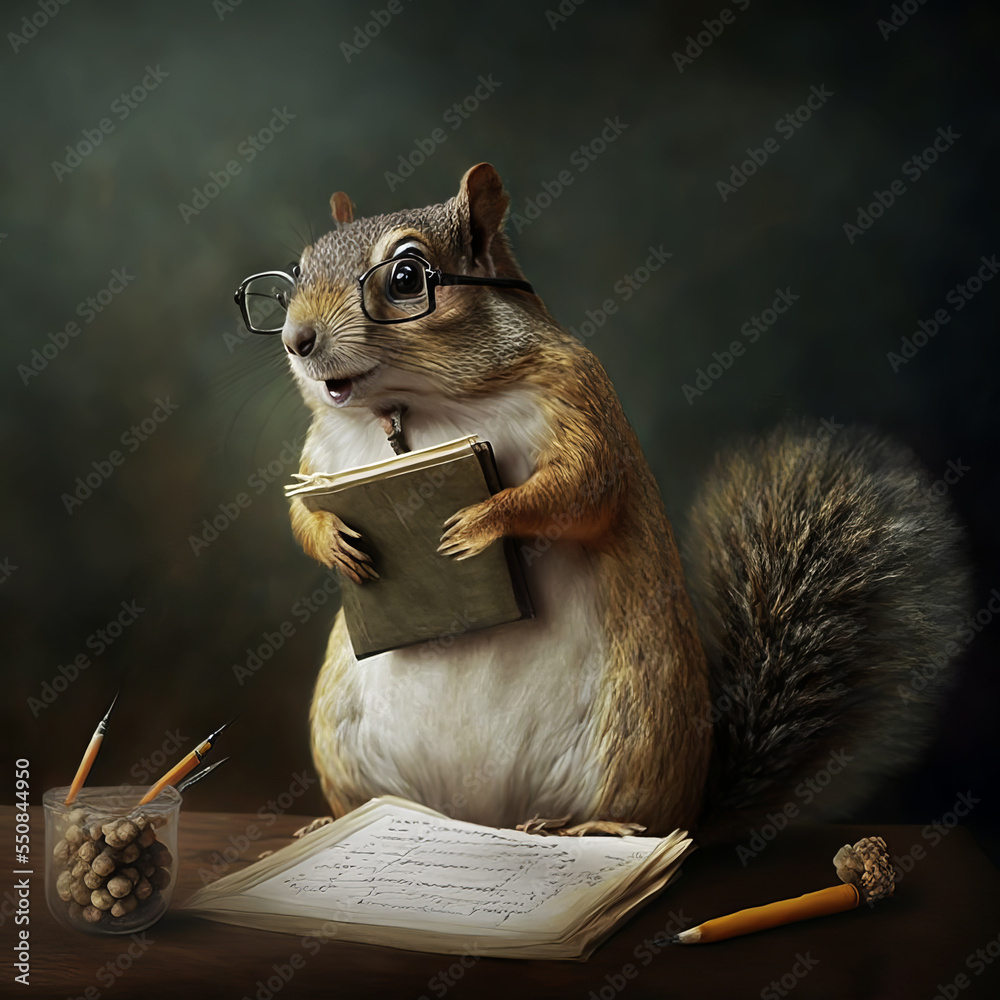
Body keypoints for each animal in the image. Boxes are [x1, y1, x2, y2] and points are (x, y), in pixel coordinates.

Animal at [276, 162, 970, 839]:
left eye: (405, 277)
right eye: (295, 277)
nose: (295, 339)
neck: (412, 411)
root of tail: (482, 816)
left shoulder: (578, 400)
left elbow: (581, 490)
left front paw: (480, 521)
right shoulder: (318, 460)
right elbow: (301, 511)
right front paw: (335, 542)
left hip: (636, 735)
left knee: (648, 823)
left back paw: (589, 830)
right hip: (340, 738)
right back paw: (333, 823)